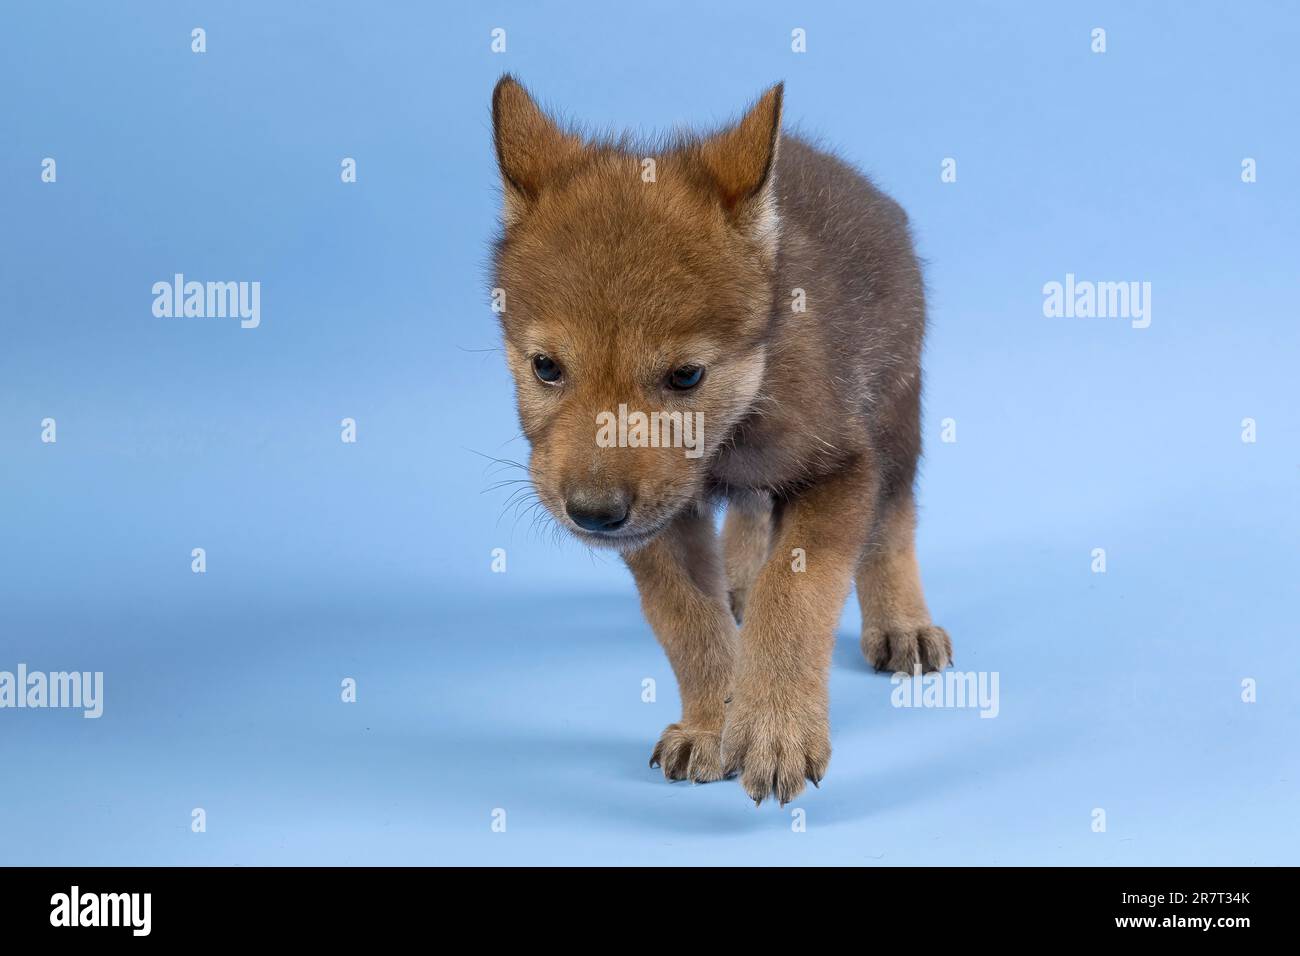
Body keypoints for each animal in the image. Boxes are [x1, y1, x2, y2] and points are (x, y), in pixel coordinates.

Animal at [490, 76, 951, 805]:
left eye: (685, 375)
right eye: (546, 367)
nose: (592, 513)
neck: (727, 438)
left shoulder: (842, 468)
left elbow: (794, 598)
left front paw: (776, 730)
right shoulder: (659, 525)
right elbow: (689, 625)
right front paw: (715, 724)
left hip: (897, 417)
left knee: (893, 524)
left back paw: (902, 624)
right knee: (754, 513)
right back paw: (740, 581)